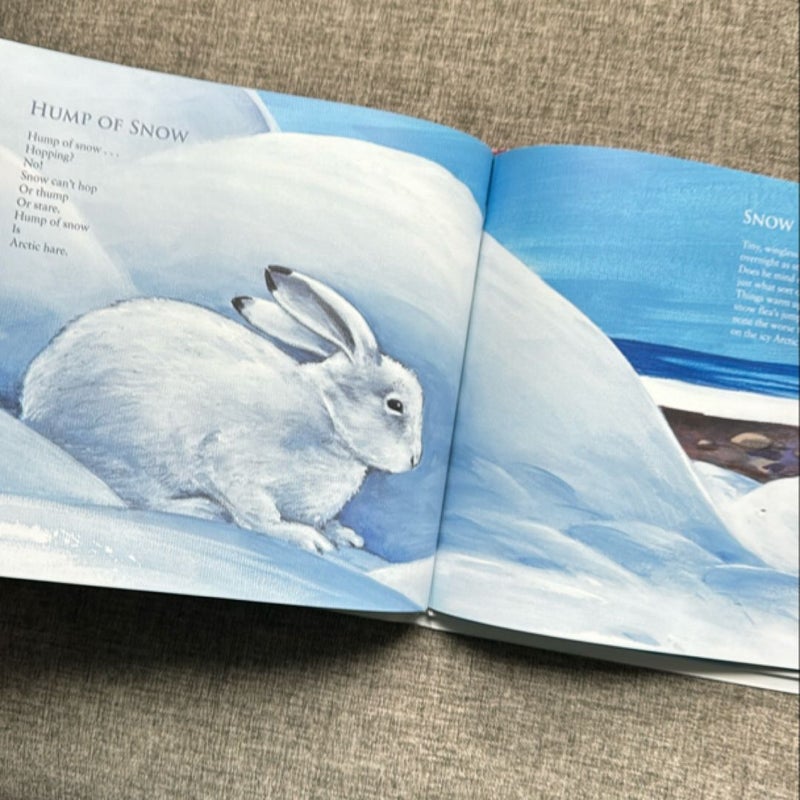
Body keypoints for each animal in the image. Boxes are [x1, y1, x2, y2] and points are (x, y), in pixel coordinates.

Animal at [20, 266, 424, 553]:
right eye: (396, 405)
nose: (415, 460)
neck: (330, 418)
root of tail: (31, 407)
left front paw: (343, 534)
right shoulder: (234, 463)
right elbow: (258, 515)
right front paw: (305, 538)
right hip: (132, 448)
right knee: (139, 497)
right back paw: (202, 509)